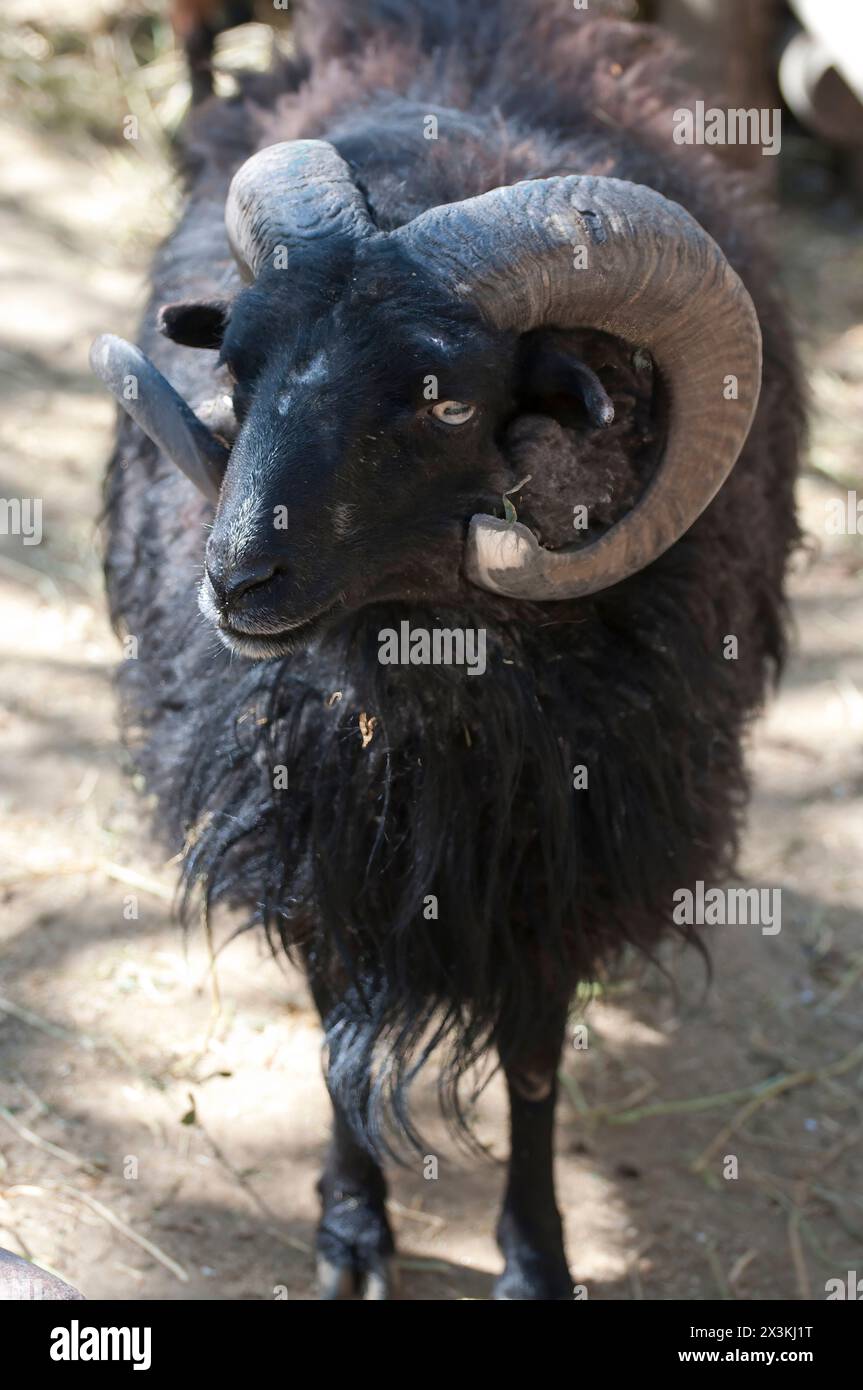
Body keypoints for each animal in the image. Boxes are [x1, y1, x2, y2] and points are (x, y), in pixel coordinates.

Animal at [94, 0, 802, 1299]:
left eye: (444, 401)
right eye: (236, 366)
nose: (234, 581)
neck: (421, 674)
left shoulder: (567, 850)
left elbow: (531, 1062)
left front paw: (533, 1254)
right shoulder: (314, 829)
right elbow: (335, 1031)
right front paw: (350, 1230)